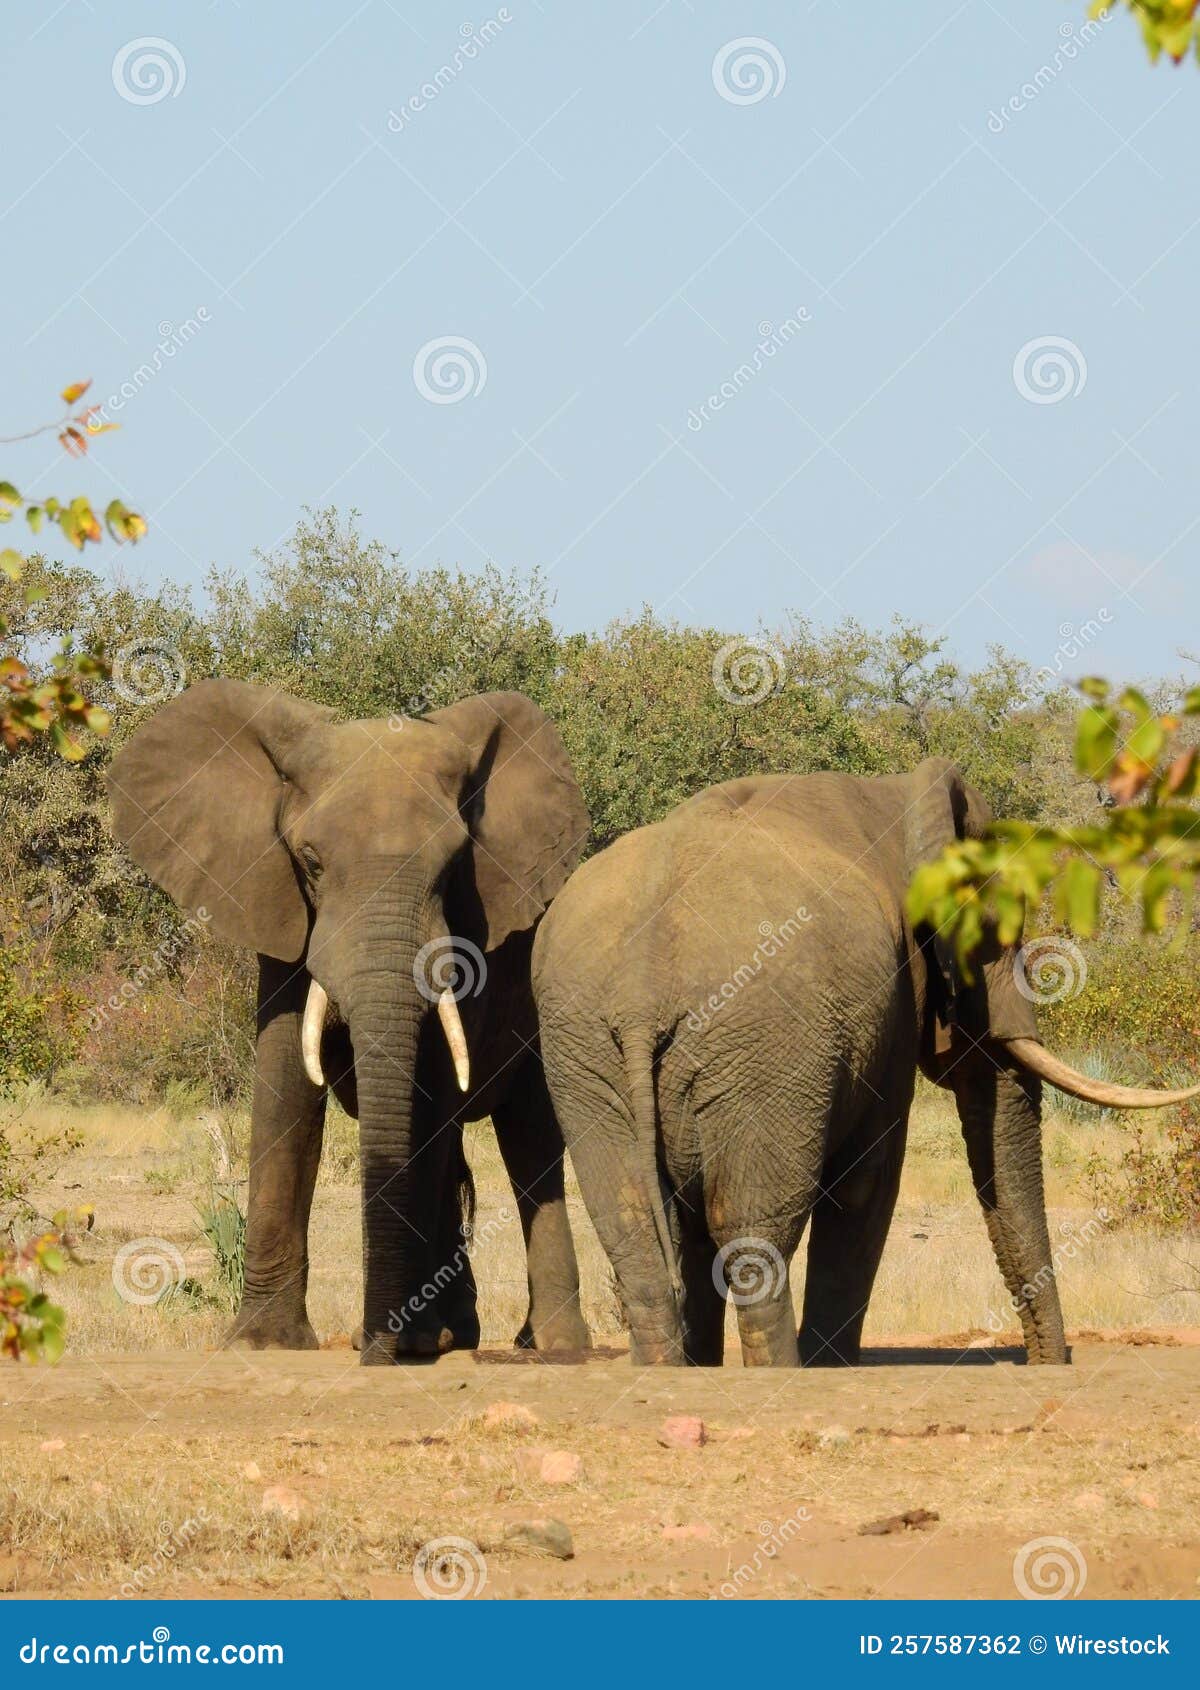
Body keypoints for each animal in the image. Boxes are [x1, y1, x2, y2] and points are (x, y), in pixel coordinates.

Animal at [109, 680, 593, 1365]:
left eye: (452, 868)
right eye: (310, 862)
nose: (373, 1351)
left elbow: (430, 1104)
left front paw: (408, 1340)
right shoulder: (281, 914)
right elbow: (285, 1093)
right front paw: (263, 1343)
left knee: (530, 1142)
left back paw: (544, 1346)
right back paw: (461, 1334)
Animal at [531, 757, 1197, 1368]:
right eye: (994, 930)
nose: (1044, 1363)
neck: (898, 796)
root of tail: (640, 991)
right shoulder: (895, 997)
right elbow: (869, 1180)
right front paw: (831, 1366)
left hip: (584, 1049)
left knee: (636, 1233)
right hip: (763, 1053)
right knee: (751, 1234)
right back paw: (784, 1370)